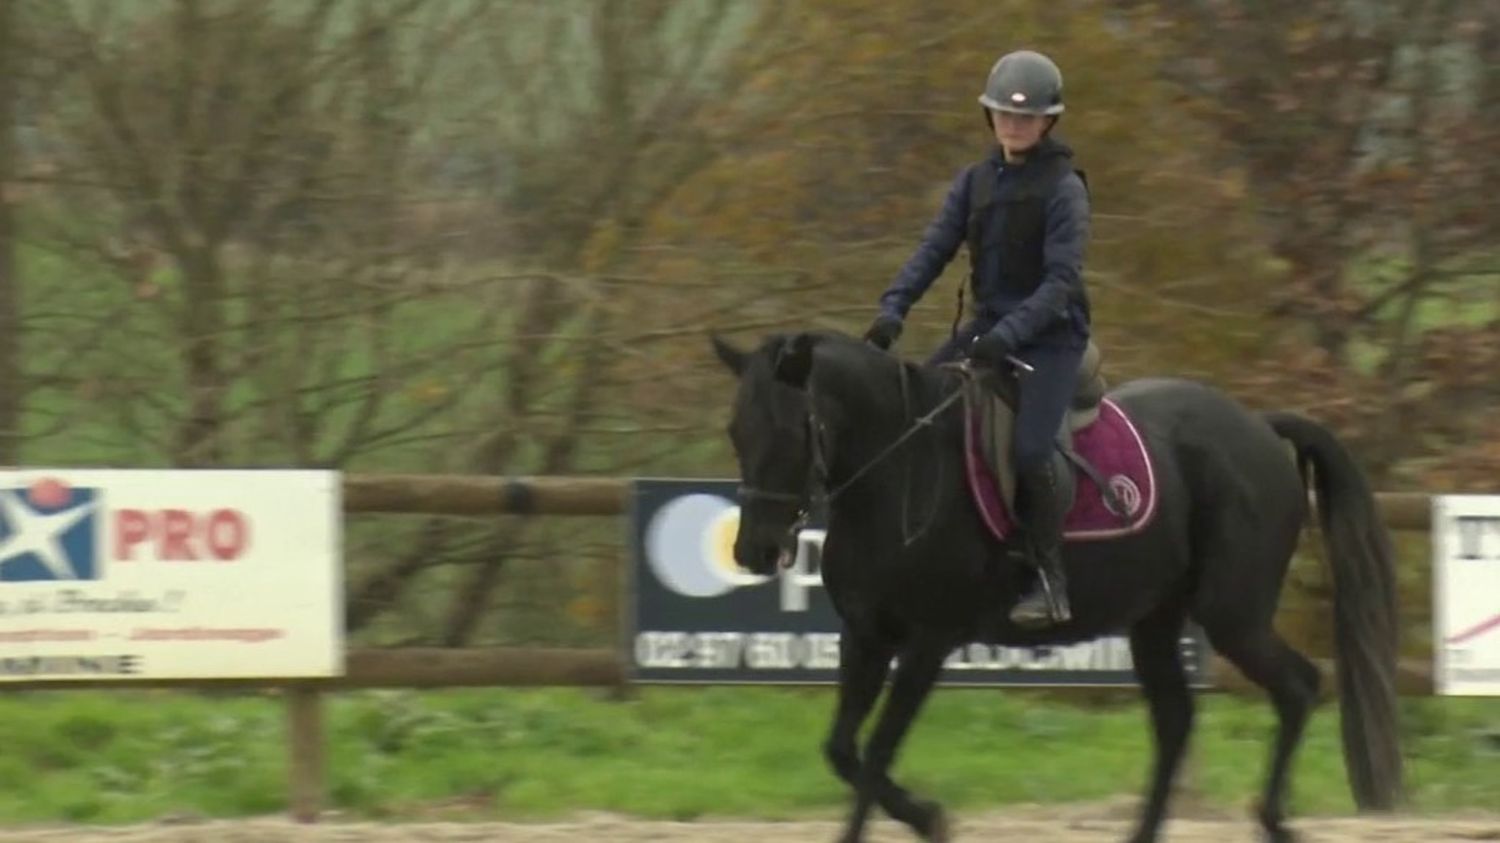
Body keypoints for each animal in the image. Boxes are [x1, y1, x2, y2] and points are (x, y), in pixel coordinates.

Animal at [708, 331, 1398, 840]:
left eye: (793, 431)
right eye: (736, 431)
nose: (755, 551)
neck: (898, 471)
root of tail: (1257, 425)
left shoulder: (928, 641)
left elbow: (876, 751)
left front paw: (926, 820)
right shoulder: (867, 638)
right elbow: (844, 751)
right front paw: (921, 816)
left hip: (1233, 615)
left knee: (1298, 687)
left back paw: (1275, 820)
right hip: (1156, 620)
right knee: (1176, 720)